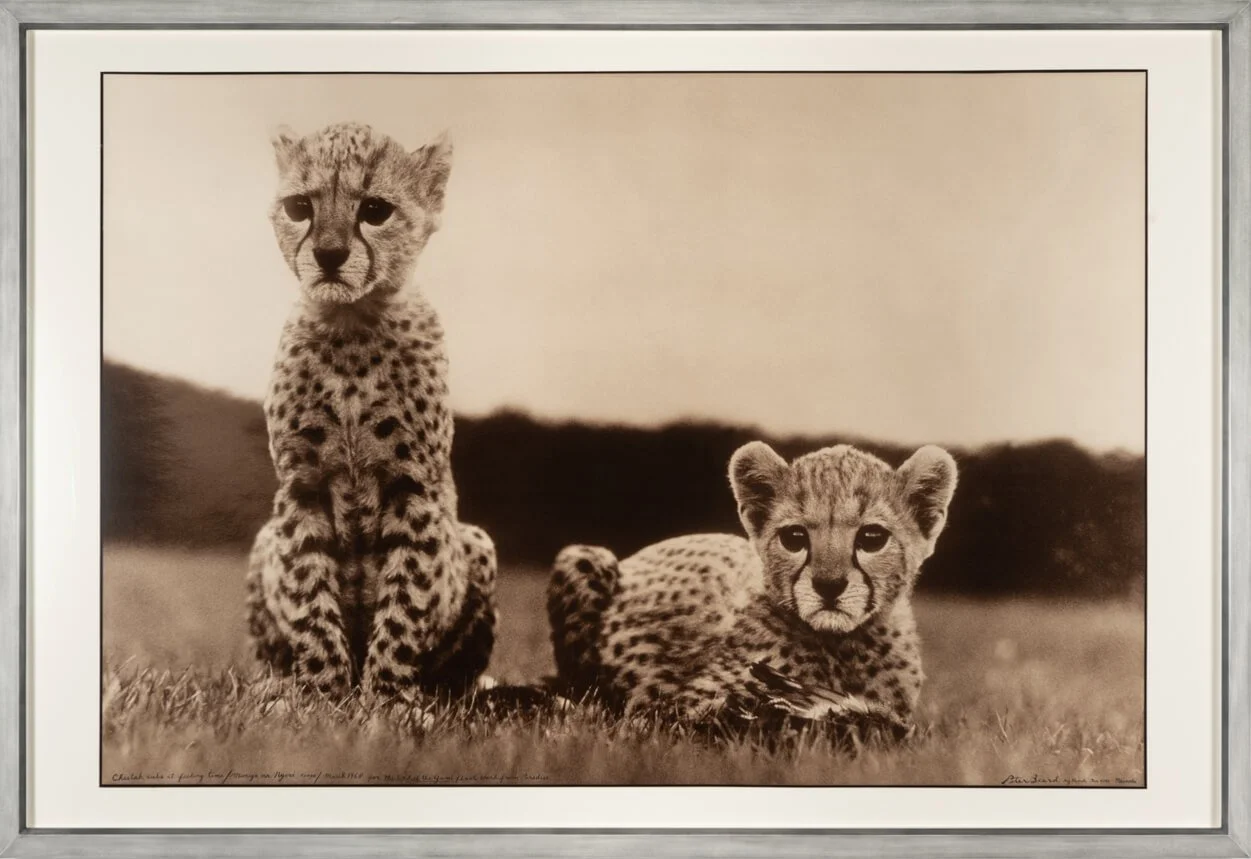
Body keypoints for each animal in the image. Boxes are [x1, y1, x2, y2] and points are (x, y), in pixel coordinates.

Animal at [245, 121, 497, 700]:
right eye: (299, 206)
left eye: (375, 210)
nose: (329, 254)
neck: (352, 323)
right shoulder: (301, 483)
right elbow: (309, 591)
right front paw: (322, 695)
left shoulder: (413, 485)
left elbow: (406, 597)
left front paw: (385, 699)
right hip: (263, 540)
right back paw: (274, 684)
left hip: (475, 541)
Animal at [547, 440, 958, 733]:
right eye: (794, 538)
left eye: (872, 538)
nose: (829, 585)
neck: (842, 646)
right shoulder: (667, 706)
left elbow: (885, 722)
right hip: (583, 557)